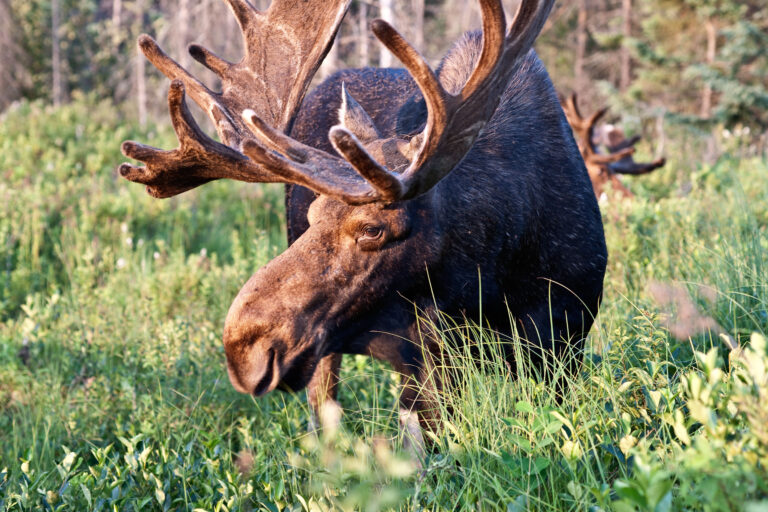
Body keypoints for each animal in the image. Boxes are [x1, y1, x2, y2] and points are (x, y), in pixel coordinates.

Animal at [118, 0, 607, 447]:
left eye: (373, 229)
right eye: (313, 214)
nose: (243, 346)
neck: (503, 269)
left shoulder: (567, 343)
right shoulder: (431, 358)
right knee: (325, 410)